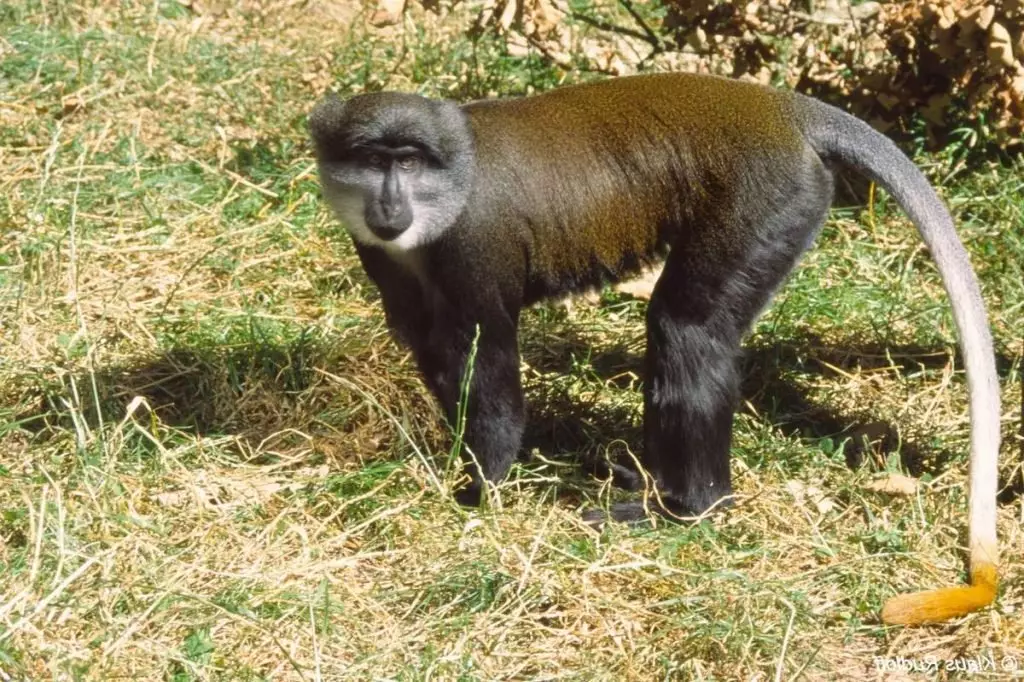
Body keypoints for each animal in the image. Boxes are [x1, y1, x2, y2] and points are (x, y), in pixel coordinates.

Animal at [309, 73, 999, 622]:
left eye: (408, 161)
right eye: (372, 159)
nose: (389, 202)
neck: (448, 192)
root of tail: (780, 109)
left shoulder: (475, 250)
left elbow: (494, 374)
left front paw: (480, 490)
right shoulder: (381, 254)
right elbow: (438, 354)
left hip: (767, 203)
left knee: (685, 329)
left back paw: (689, 507)